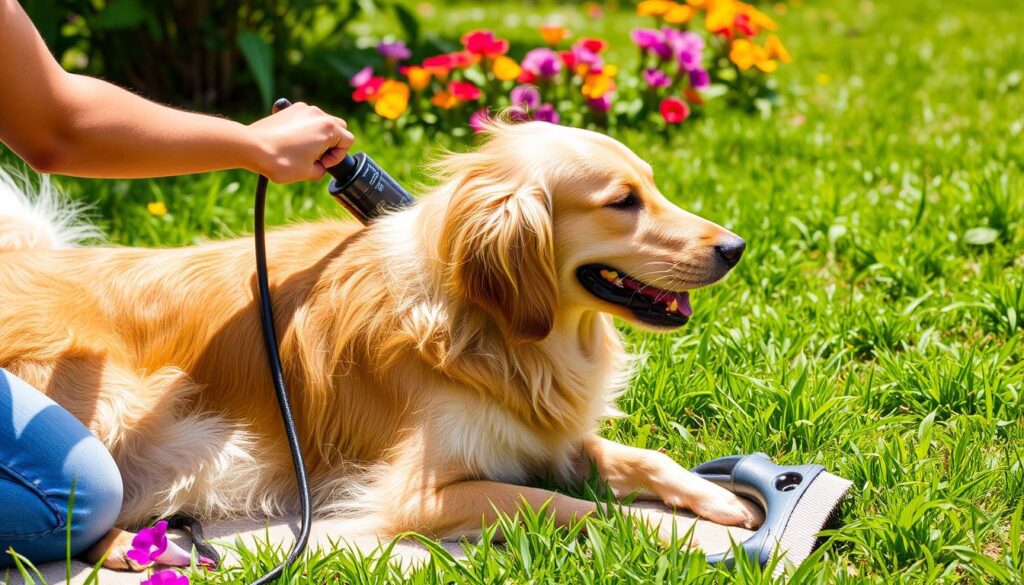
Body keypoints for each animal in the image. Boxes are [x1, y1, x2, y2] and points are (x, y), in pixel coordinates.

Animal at [2, 121, 761, 569]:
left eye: (653, 186)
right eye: (622, 201)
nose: (735, 246)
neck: (491, 326)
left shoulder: (540, 432)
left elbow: (640, 457)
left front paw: (719, 501)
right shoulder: (416, 493)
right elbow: (572, 504)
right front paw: (705, 536)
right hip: (113, 398)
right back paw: (135, 548)